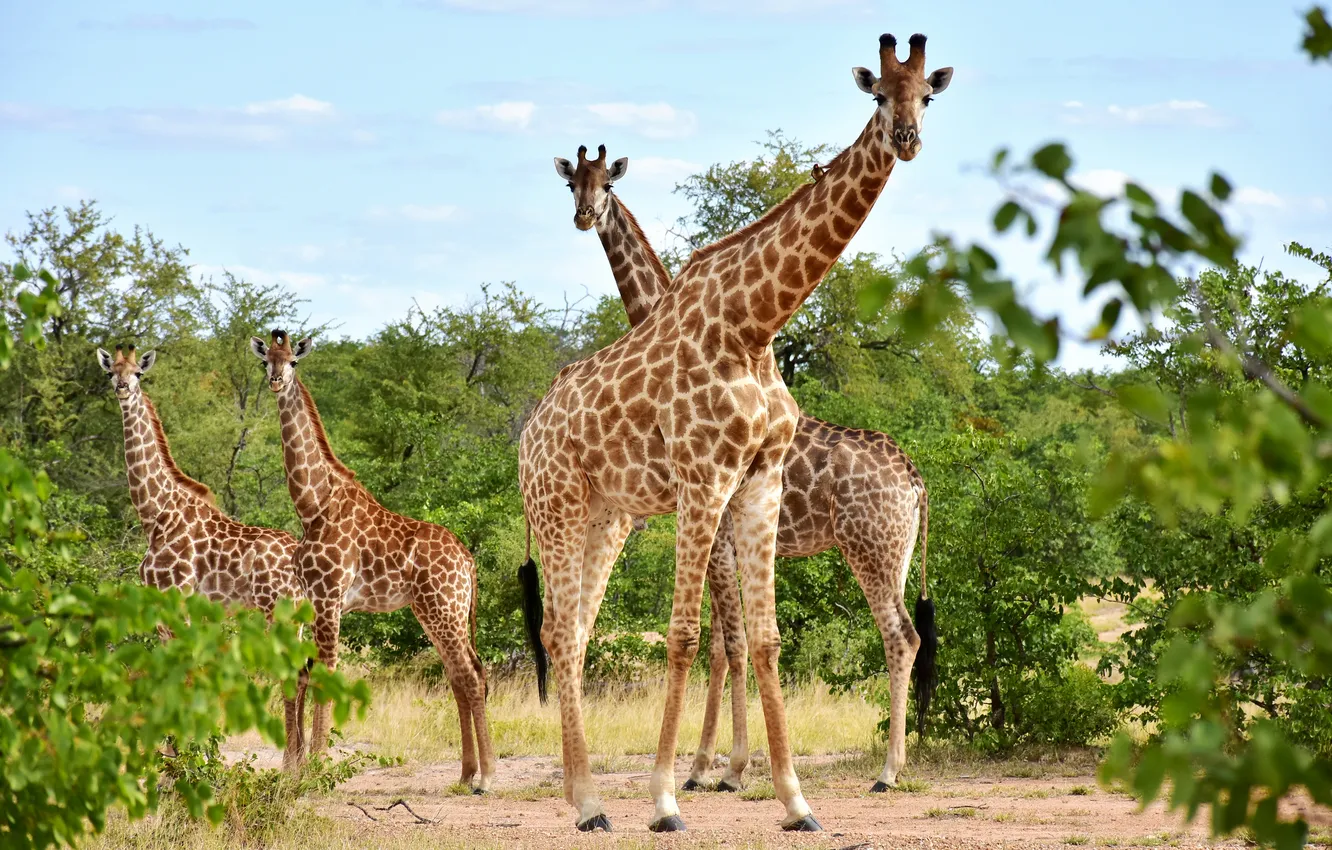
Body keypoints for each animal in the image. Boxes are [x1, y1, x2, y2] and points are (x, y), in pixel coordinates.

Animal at [97, 344, 309, 773]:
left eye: (138, 373)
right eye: (111, 372)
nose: (123, 388)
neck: (155, 514)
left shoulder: (177, 598)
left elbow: (186, 676)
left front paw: (187, 761)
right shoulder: (162, 609)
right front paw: (176, 759)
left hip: (276, 612)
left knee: (290, 676)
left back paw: (289, 768)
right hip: (294, 617)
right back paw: (302, 763)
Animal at [251, 330, 495, 792]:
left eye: (293, 361)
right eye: (265, 361)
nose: (275, 381)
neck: (312, 505)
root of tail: (468, 560)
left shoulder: (329, 598)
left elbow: (325, 673)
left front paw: (315, 767)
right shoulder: (316, 601)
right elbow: (307, 672)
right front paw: (301, 766)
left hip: (444, 608)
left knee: (471, 674)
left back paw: (486, 776)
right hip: (432, 610)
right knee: (460, 674)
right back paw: (465, 773)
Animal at [519, 32, 952, 833]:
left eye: (928, 96)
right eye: (878, 93)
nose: (906, 139)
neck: (754, 325)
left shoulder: (757, 483)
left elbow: (762, 639)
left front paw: (791, 799)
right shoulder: (704, 482)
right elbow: (695, 637)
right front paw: (673, 794)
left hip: (616, 517)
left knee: (575, 630)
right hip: (559, 503)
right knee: (562, 631)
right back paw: (589, 802)